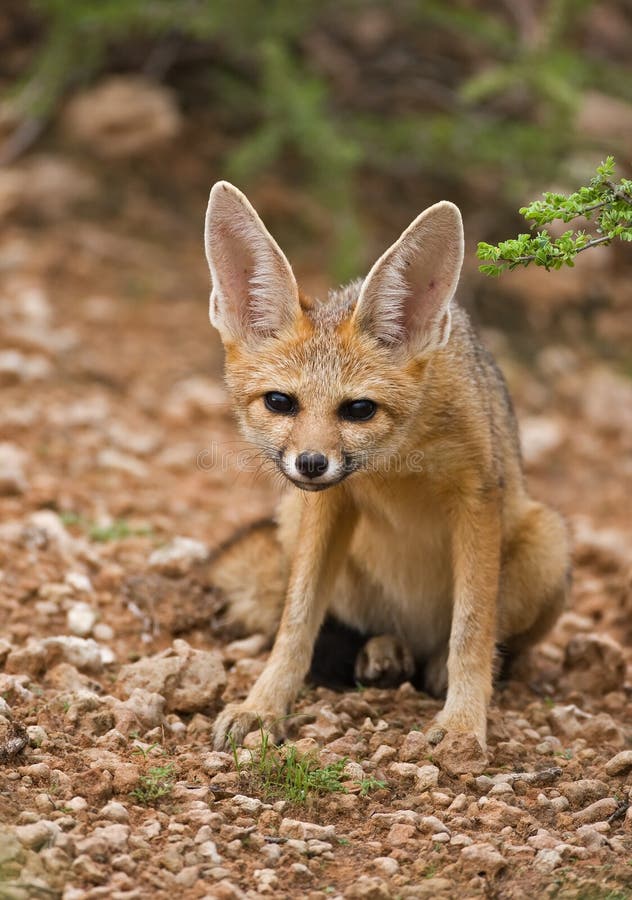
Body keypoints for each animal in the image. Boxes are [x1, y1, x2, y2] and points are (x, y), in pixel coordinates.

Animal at [204, 181, 570, 754]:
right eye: (280, 403)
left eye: (359, 409)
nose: (311, 463)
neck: (397, 463)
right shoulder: (328, 503)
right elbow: (296, 621)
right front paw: (262, 705)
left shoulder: (476, 497)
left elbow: (472, 629)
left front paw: (463, 723)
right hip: (294, 519)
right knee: (360, 632)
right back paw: (382, 651)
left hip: (547, 542)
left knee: (476, 647)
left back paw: (435, 666)